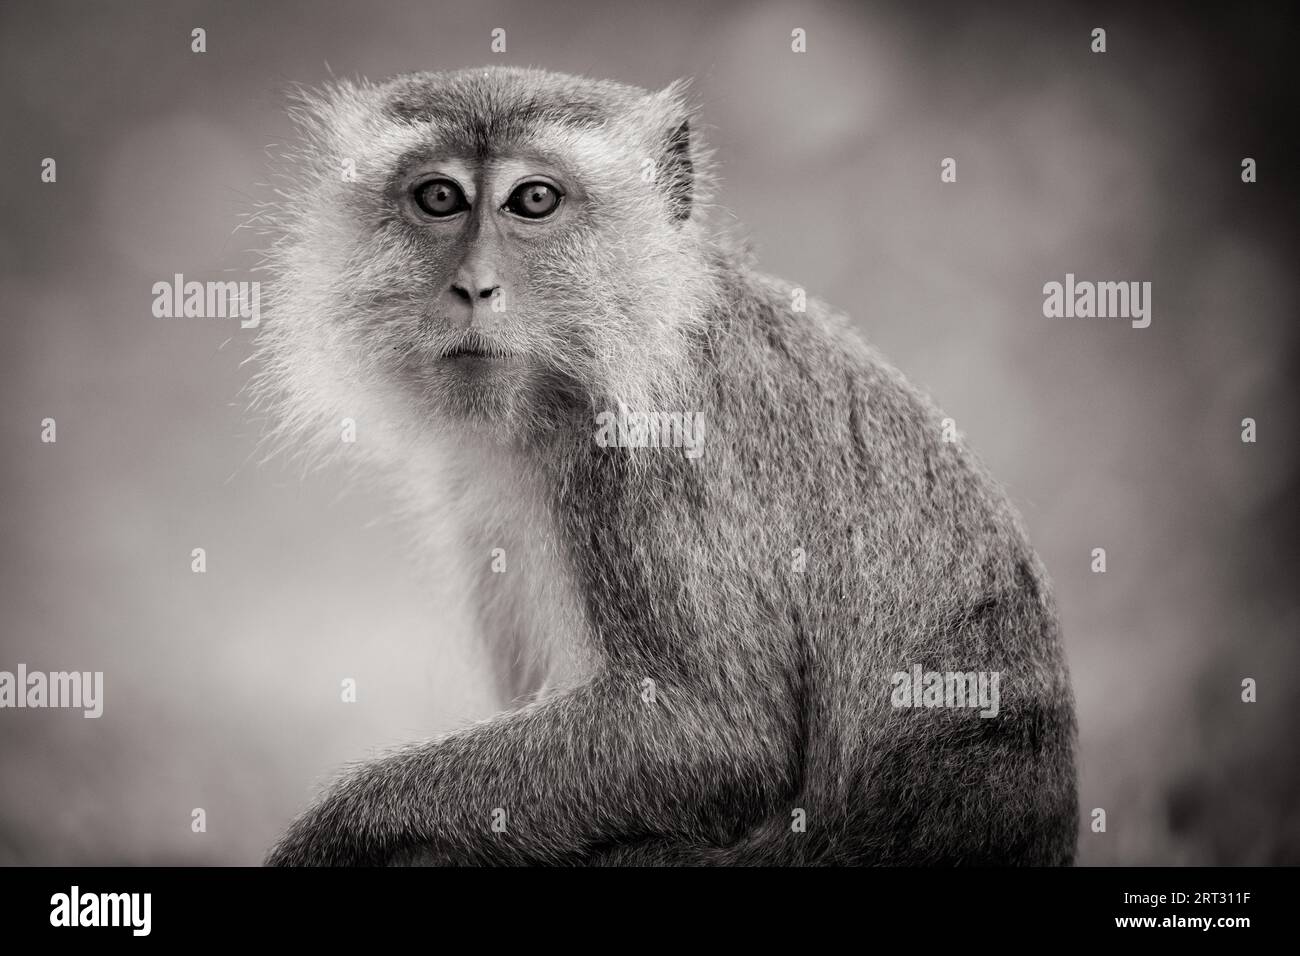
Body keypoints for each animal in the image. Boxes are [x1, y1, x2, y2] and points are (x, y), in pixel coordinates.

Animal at [256, 66, 1077, 866]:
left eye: (534, 199)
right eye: (439, 198)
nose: (474, 287)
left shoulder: (648, 454)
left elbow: (712, 734)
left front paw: (341, 830)